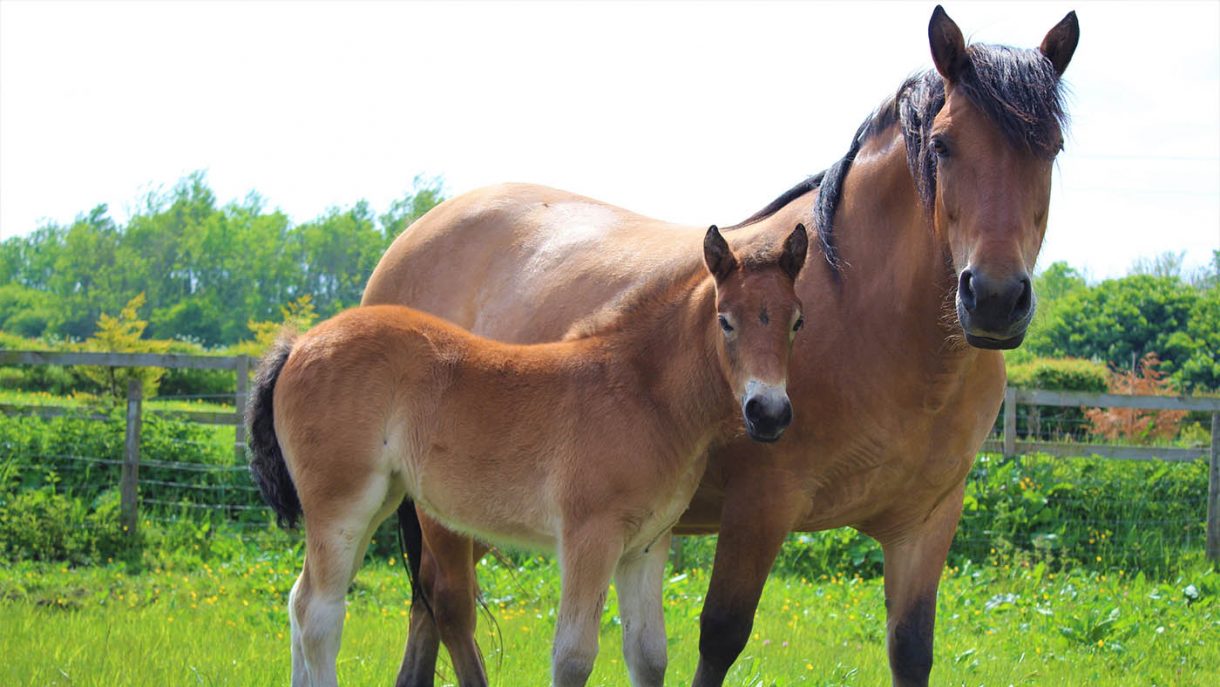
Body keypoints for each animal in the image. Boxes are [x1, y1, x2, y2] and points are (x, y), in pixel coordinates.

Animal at [248, 224, 810, 686]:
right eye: (725, 321)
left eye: (797, 323)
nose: (768, 413)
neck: (640, 393)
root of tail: (299, 344)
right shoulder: (590, 537)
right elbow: (574, 657)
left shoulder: (647, 546)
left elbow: (648, 656)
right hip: (342, 502)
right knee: (320, 613)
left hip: (378, 501)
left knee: (300, 601)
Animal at [363, 6, 1079, 686]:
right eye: (943, 144)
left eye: (1052, 149)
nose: (993, 298)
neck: (874, 325)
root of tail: (412, 239)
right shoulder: (759, 510)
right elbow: (721, 637)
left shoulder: (926, 525)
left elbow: (911, 652)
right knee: (446, 601)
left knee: (425, 606)